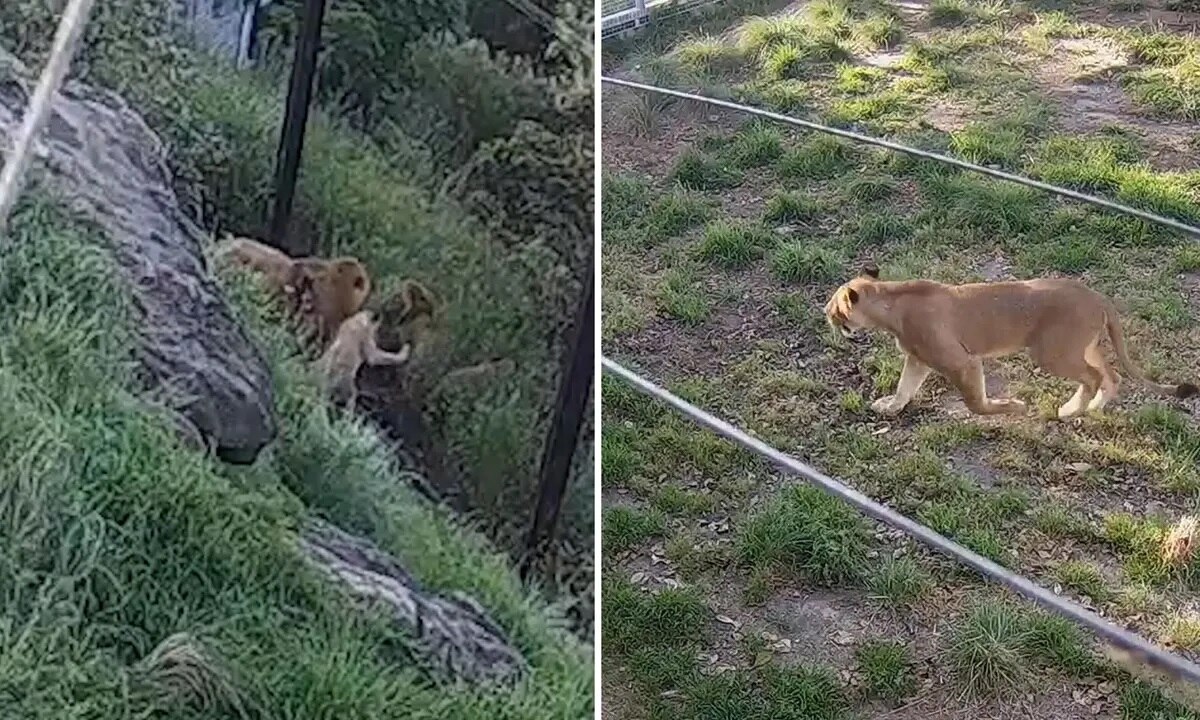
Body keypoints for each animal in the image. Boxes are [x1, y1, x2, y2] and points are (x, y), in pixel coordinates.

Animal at [823, 264, 1198, 419]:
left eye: (833, 308)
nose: (824, 314)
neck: (891, 302)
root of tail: (1097, 296)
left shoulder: (962, 361)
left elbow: (976, 403)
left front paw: (1012, 407)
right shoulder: (918, 359)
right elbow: (904, 388)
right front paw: (890, 407)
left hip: (1051, 352)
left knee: (1093, 378)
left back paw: (1068, 411)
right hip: (1082, 347)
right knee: (1112, 375)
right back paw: (1092, 409)